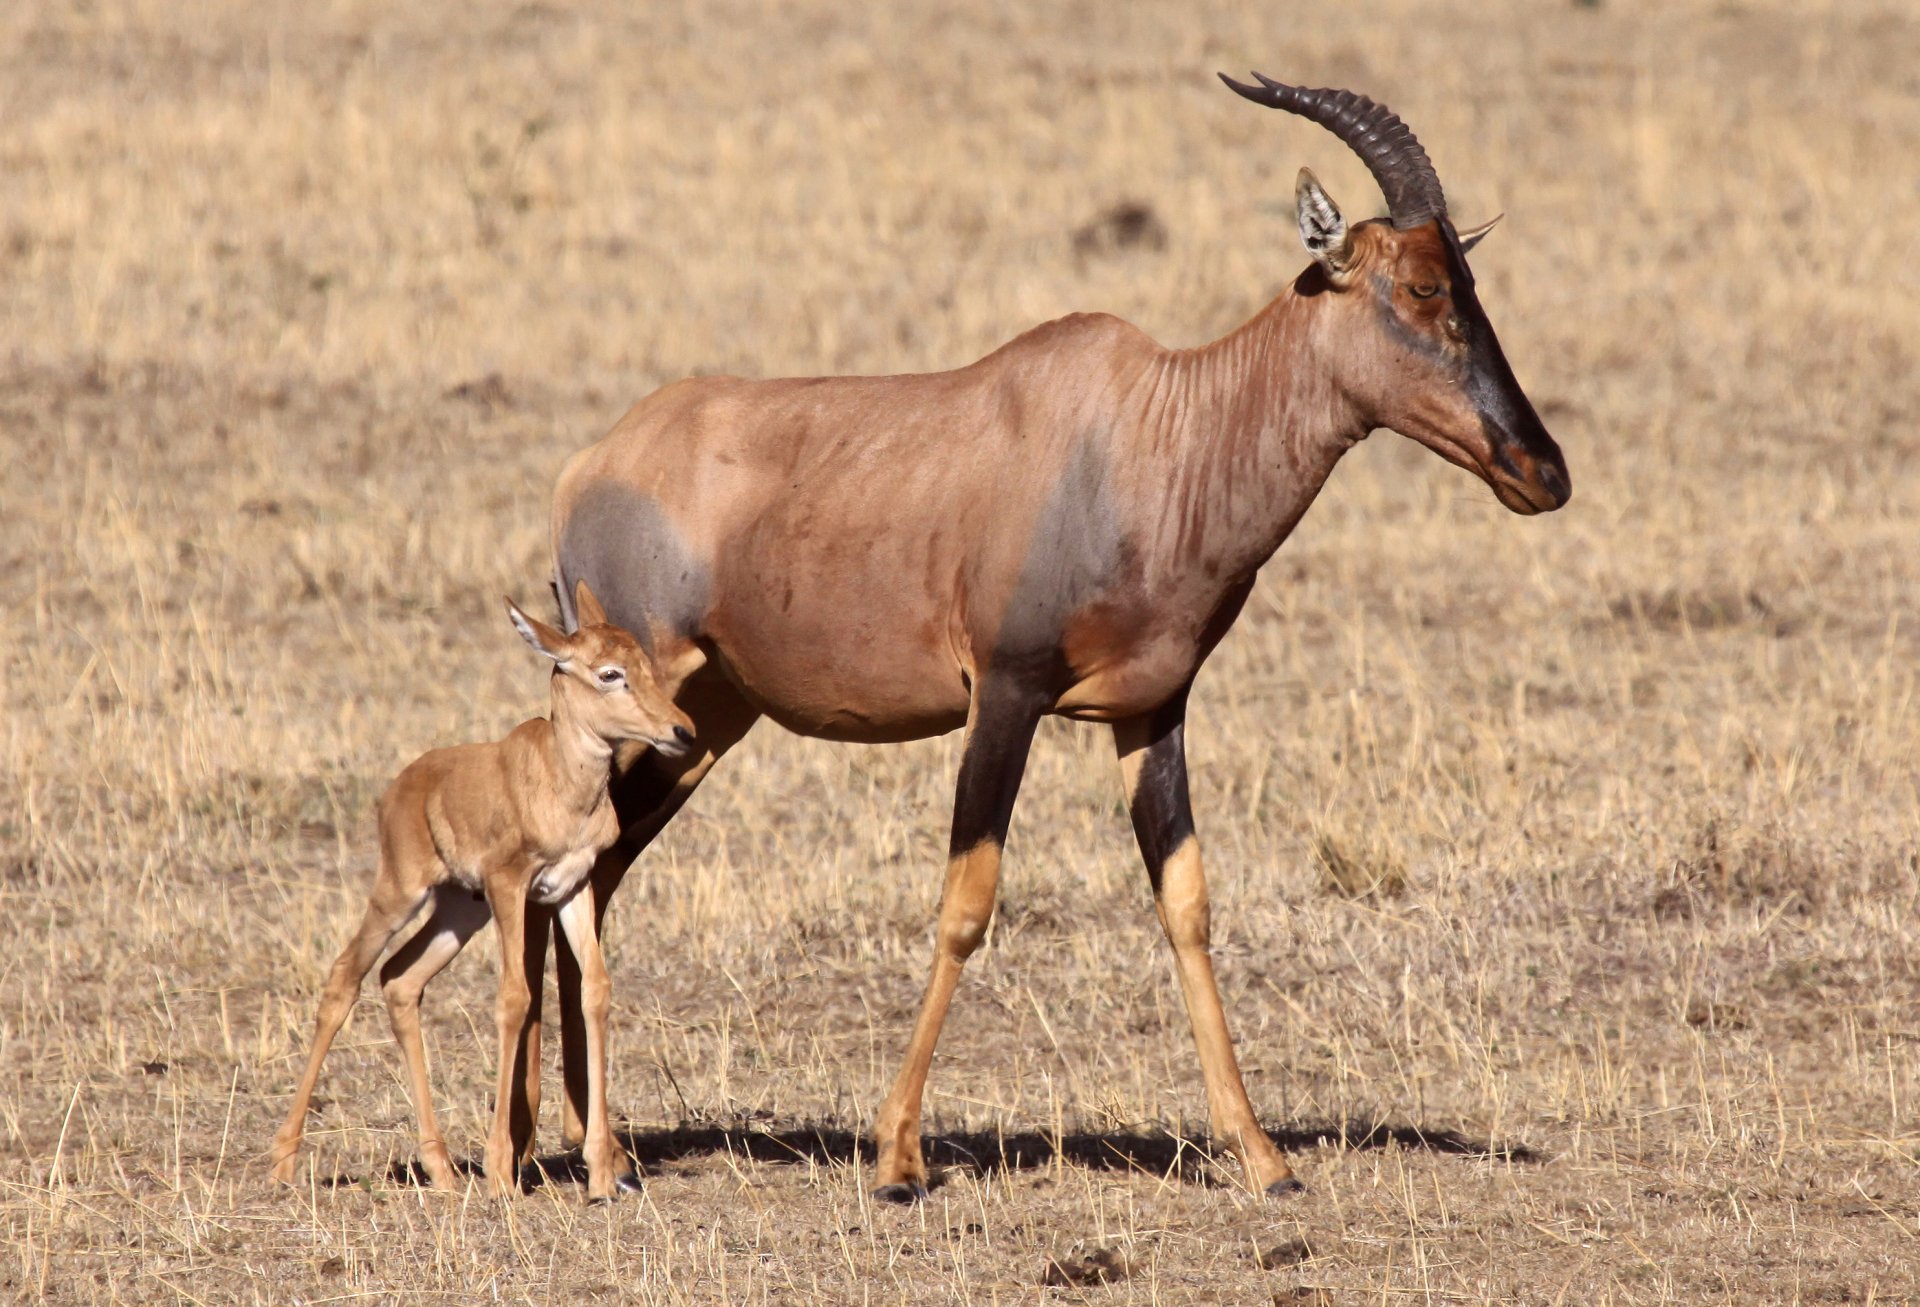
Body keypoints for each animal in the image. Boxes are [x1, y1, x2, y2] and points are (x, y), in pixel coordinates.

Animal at [269, 583, 694, 1201]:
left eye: (644, 663)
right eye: (609, 673)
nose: (681, 731)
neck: (558, 776)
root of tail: (404, 785)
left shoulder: (572, 887)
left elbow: (594, 989)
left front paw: (600, 1174)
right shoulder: (509, 887)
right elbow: (515, 997)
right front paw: (501, 1171)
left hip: (457, 912)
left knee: (400, 980)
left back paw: (442, 1169)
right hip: (402, 893)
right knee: (345, 976)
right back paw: (283, 1158)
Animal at [541, 74, 1571, 1201]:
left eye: (1467, 279)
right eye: (1422, 288)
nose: (1544, 471)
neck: (1154, 432)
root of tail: (591, 464)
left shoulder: (1153, 712)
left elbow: (1187, 903)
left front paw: (1260, 1155)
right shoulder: (1006, 693)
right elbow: (966, 901)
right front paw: (897, 1157)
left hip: (706, 722)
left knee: (596, 873)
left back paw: (591, 1136)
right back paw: (592, 1148)